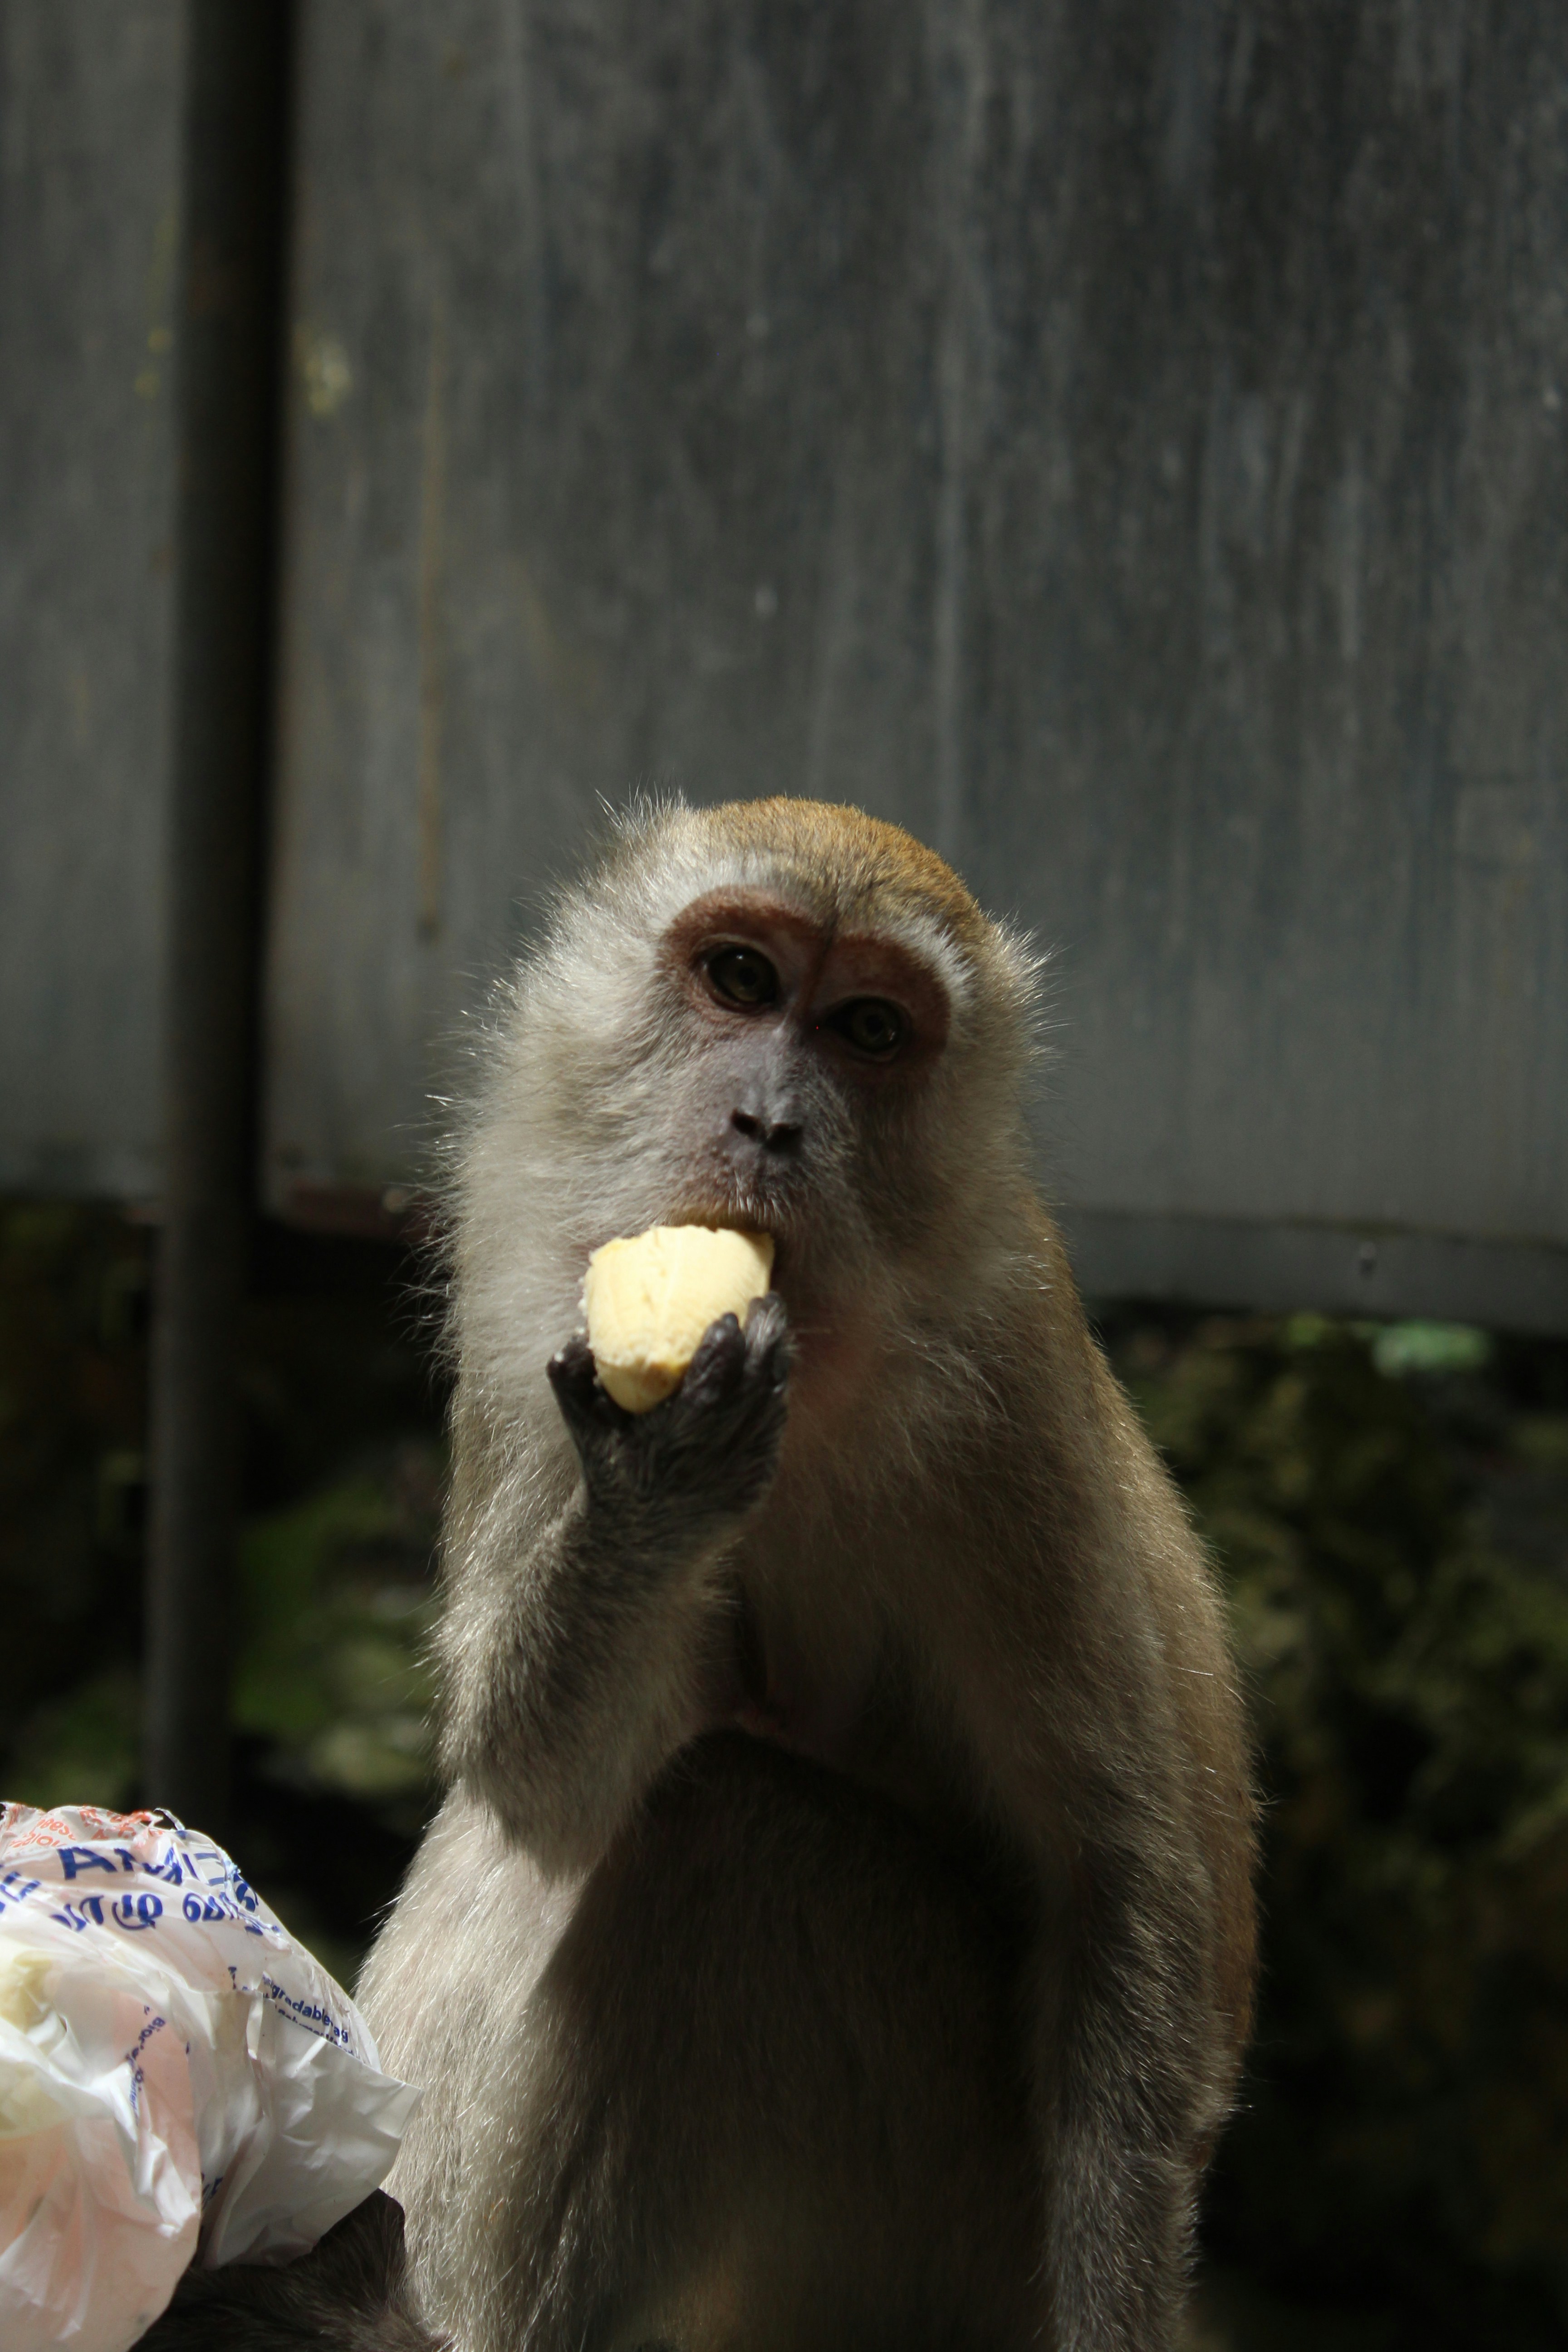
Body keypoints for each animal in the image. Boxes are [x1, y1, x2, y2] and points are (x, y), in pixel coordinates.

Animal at [345, 796, 1256, 2352]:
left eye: (871, 1030)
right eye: (742, 980)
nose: (768, 1121)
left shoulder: (1006, 1395)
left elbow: (1111, 1884)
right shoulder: (523, 1283)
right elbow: (539, 1791)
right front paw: (654, 1492)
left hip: (930, 2217)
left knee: (735, 1830)